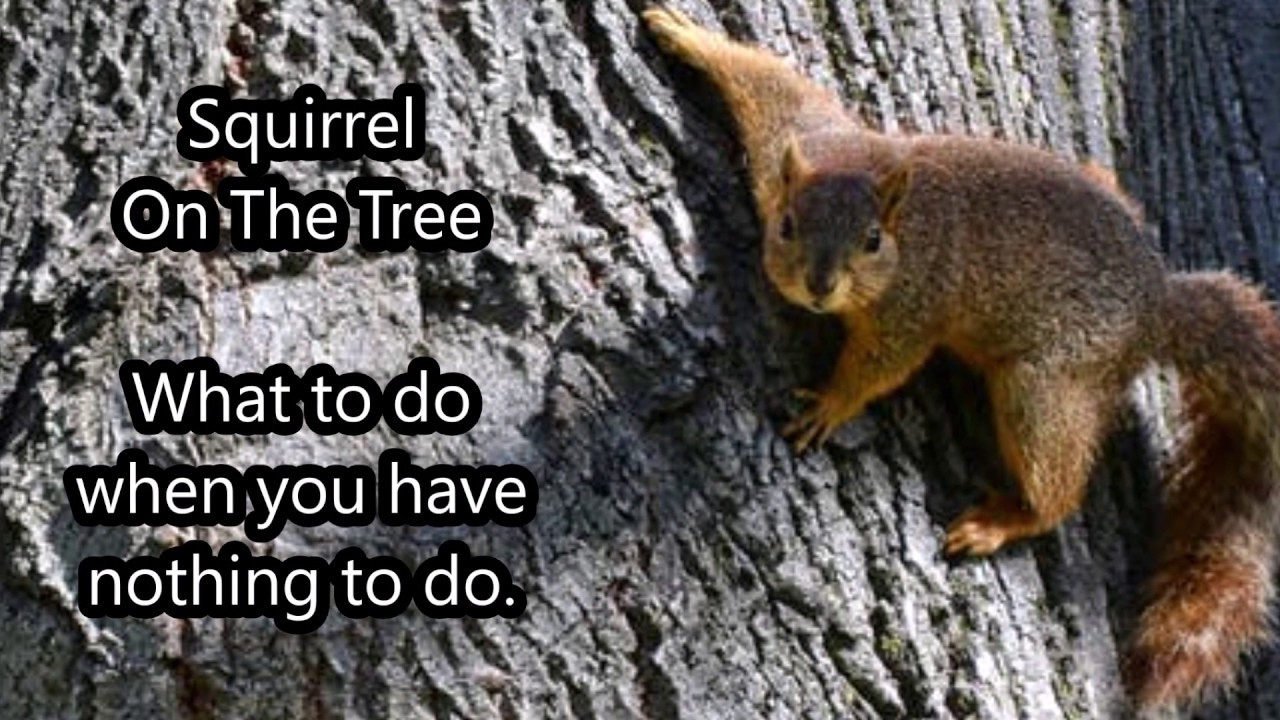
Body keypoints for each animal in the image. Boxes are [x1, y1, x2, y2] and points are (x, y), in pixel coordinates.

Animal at [643, 5, 1280, 713]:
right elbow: (772, 85)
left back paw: (1005, 520)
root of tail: (1158, 305)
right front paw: (687, 35)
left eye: (872, 241)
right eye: (786, 225)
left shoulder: (914, 308)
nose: (818, 286)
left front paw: (831, 403)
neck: (903, 220)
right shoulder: (801, 138)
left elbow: (884, 364)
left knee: (1058, 480)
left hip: (1044, 384)